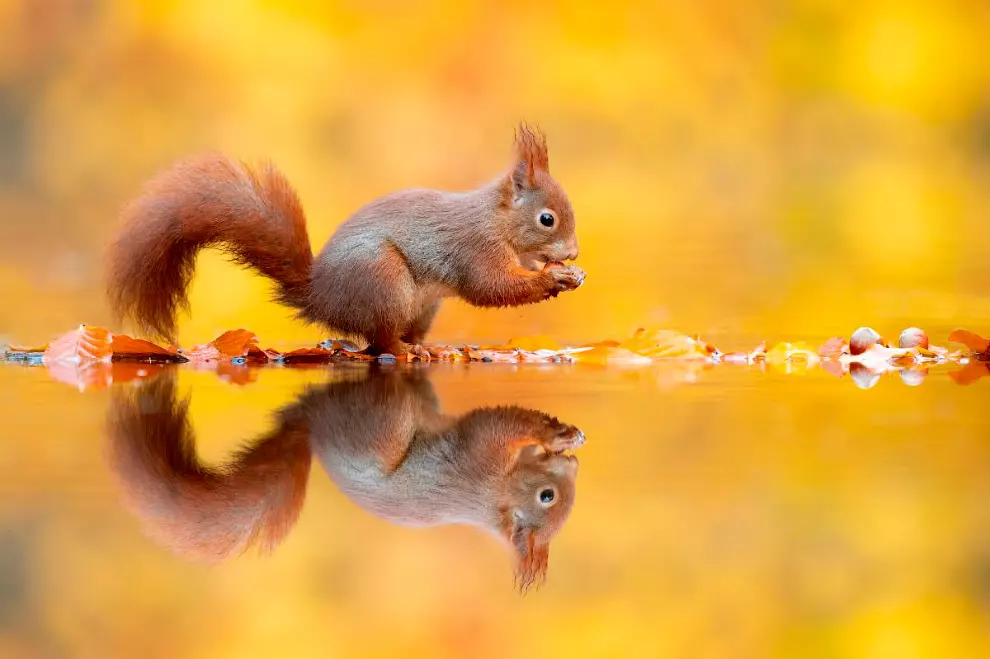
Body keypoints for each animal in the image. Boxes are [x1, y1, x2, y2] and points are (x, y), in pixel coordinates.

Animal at [106, 121, 588, 354]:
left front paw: (565, 273)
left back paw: (434, 347)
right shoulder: (476, 247)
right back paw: (409, 352)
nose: (573, 252)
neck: (496, 219)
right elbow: (492, 288)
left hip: (422, 306)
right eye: (547, 219)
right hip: (382, 280)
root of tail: (320, 297)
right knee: (380, 340)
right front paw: (552, 279)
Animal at [106, 368, 588, 592]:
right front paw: (554, 435)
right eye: (547, 497)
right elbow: (507, 422)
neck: (493, 498)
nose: (574, 469)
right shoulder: (483, 455)